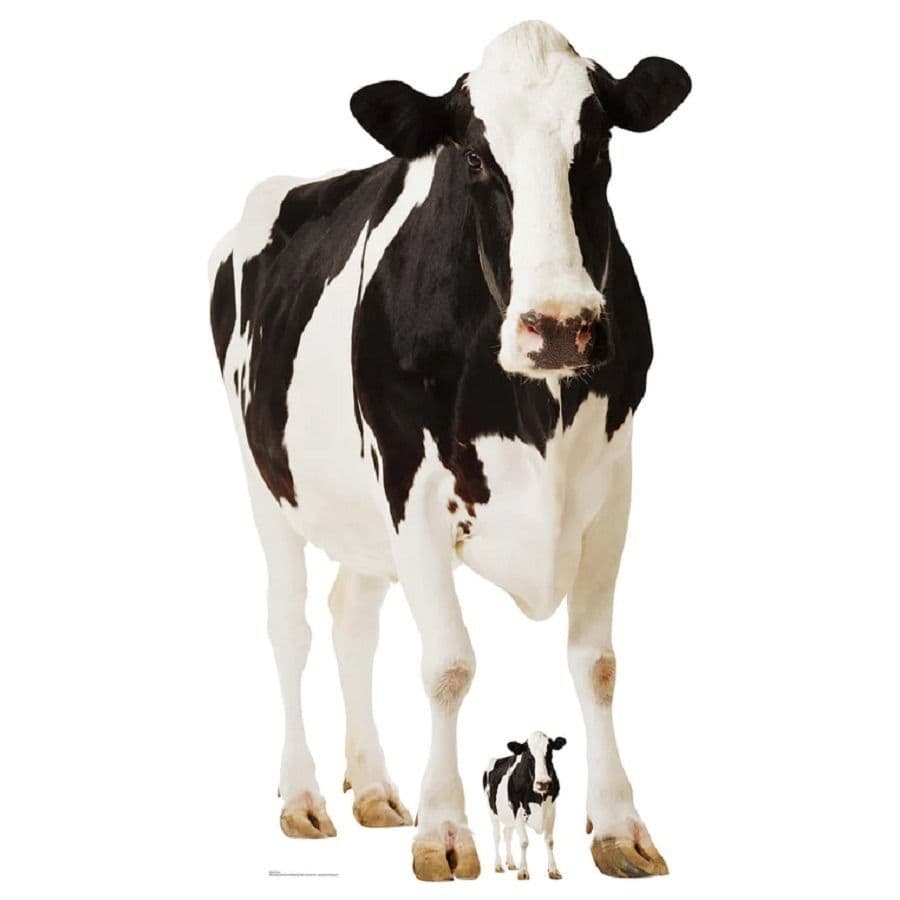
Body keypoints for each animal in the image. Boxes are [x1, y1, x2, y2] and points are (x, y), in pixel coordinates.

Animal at [483, 733, 566, 880]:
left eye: (549, 754)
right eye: (529, 756)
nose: (543, 783)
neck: (538, 798)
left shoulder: (551, 810)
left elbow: (549, 841)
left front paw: (553, 870)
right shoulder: (518, 810)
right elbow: (524, 842)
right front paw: (523, 871)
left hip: (509, 816)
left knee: (507, 834)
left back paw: (511, 863)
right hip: (492, 811)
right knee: (497, 836)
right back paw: (498, 865)